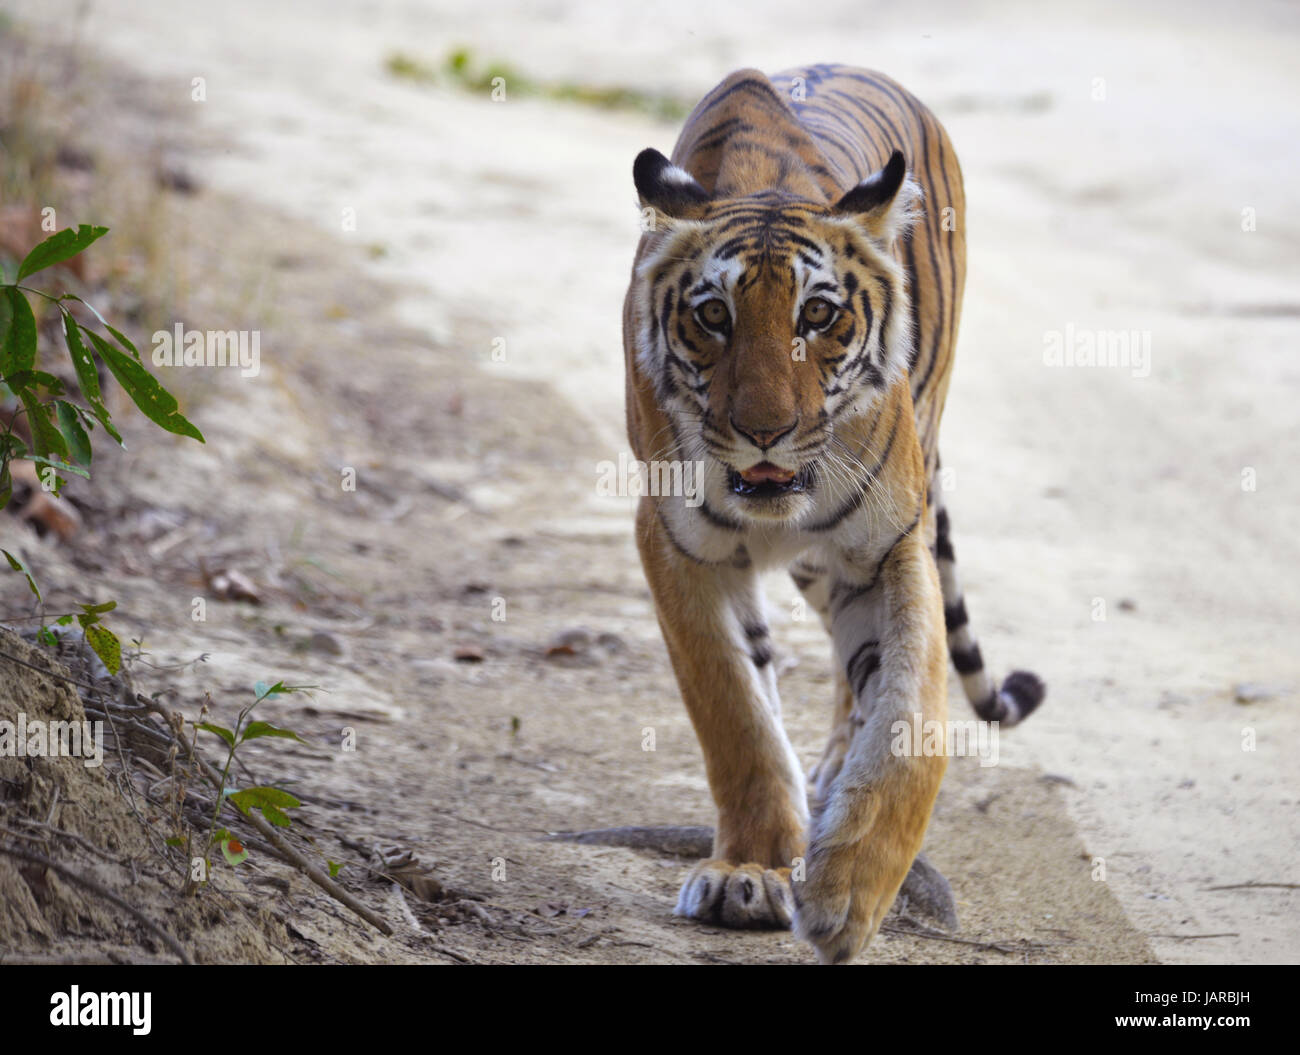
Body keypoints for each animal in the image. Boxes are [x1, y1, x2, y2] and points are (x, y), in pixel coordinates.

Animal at [621, 63, 1045, 964]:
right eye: (714, 316)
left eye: (818, 314)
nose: (765, 430)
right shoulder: (678, 545)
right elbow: (735, 709)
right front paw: (750, 870)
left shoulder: (888, 545)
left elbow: (911, 719)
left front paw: (849, 891)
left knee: (862, 690)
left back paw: (832, 786)